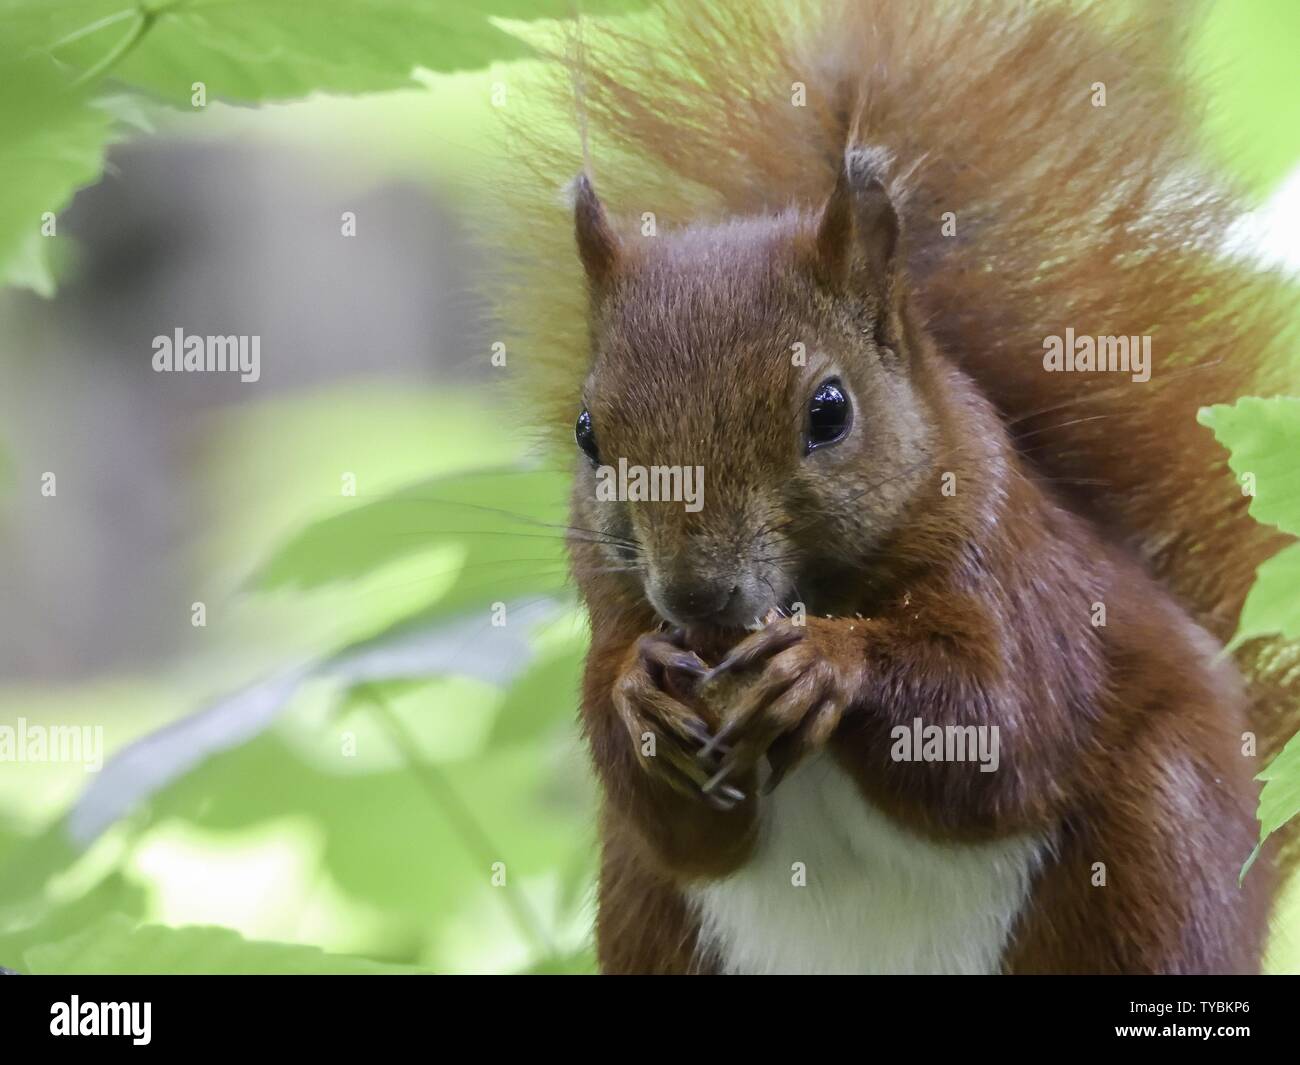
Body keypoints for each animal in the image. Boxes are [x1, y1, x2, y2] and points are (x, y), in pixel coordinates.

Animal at [490, 0, 1300, 973]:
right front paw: (637, 692)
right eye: (586, 433)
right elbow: (676, 820)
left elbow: (999, 719)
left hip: (1158, 850)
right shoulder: (615, 614)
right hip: (647, 911)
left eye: (829, 410)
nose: (695, 594)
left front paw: (828, 660)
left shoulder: (1019, 574)